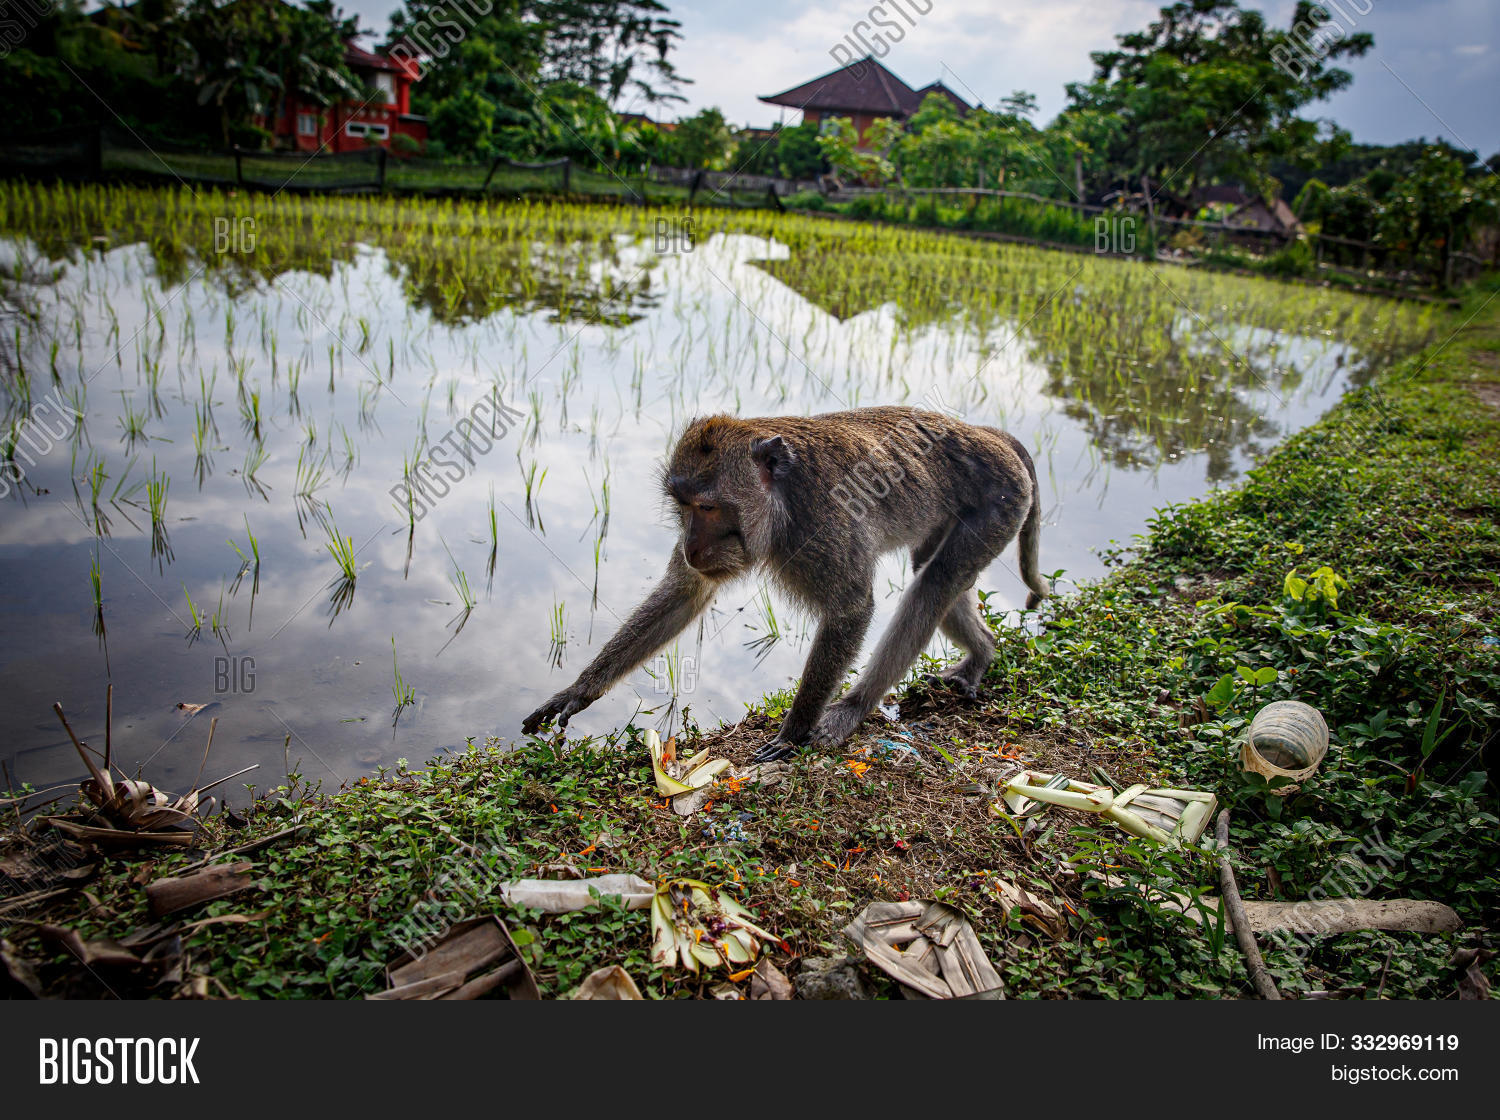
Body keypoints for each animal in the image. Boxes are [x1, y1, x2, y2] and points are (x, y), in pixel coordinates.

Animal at [521, 406, 1049, 762]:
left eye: (708, 507)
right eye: (683, 506)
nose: (691, 546)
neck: (783, 498)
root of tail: (984, 432)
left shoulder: (826, 525)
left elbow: (852, 608)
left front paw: (795, 730)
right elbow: (686, 593)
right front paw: (579, 691)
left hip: (1001, 501)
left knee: (935, 583)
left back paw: (855, 707)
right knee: (933, 572)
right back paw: (983, 652)